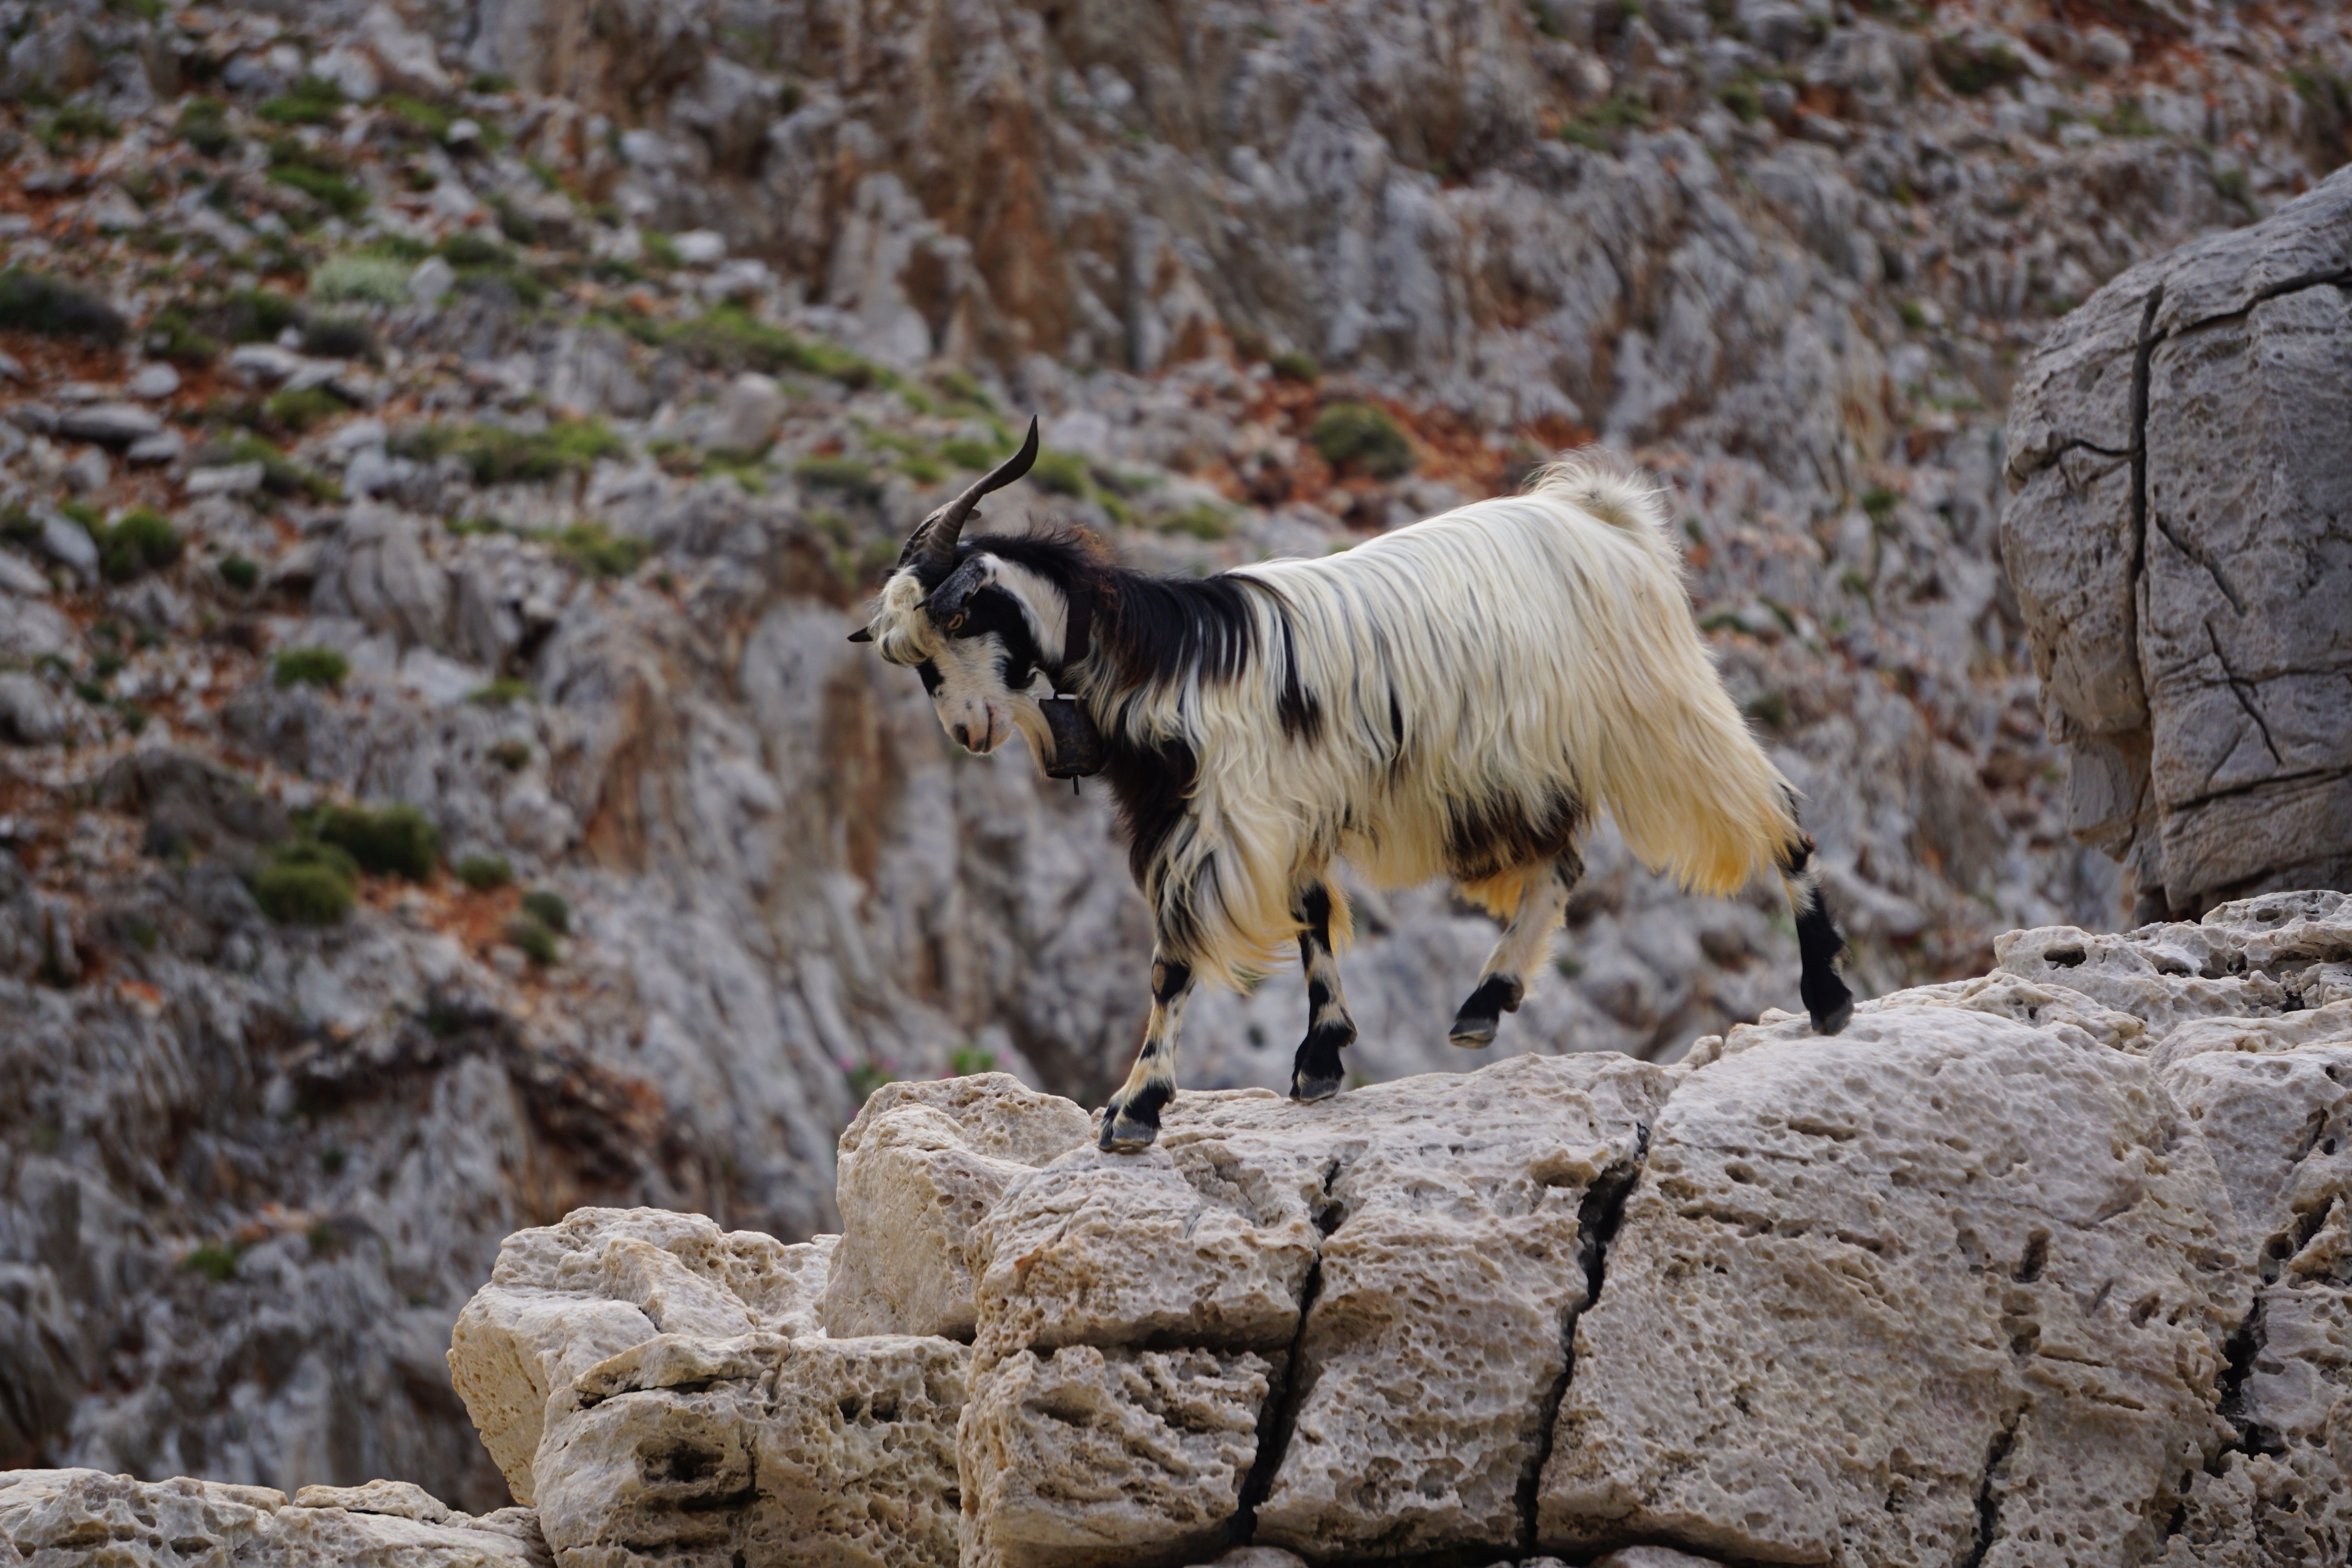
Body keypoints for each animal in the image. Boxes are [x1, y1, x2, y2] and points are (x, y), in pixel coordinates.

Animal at [852, 419, 1852, 1151]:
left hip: (1658, 715)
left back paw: (1828, 991)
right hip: (1522, 767)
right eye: (911, 660)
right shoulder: (1289, 808)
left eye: (958, 622)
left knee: (1779, 812)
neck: (1166, 661)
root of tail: (1604, 518)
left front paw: (1135, 1105)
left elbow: (1174, 963)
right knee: (1561, 864)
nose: (967, 732)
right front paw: (1322, 1054)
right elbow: (1312, 919)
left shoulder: (1223, 822)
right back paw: (1485, 1001)